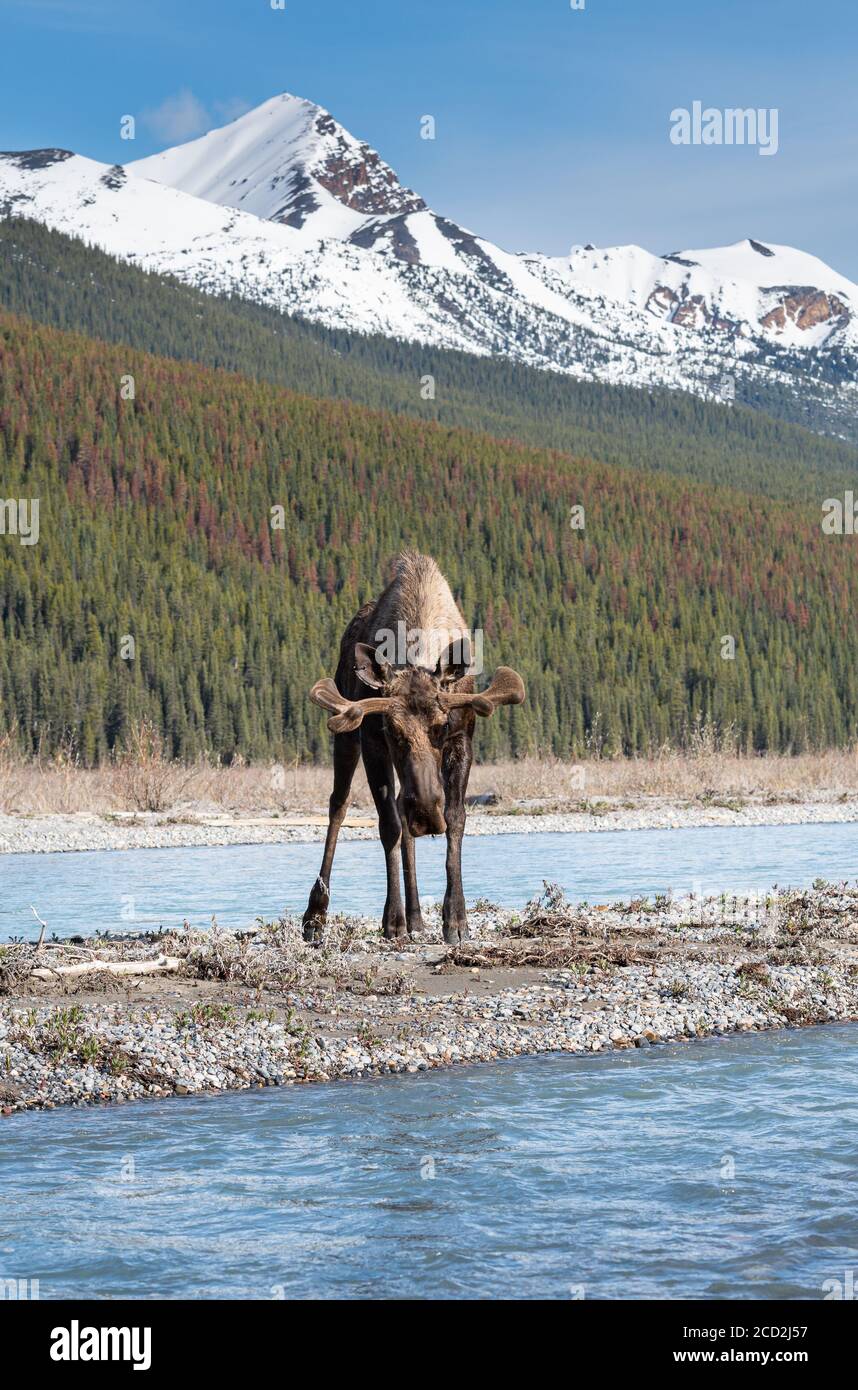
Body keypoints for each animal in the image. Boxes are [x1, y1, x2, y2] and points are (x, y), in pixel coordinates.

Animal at [302, 552, 525, 945]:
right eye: (391, 729)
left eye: (441, 726)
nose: (425, 814)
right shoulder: (373, 743)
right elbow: (388, 824)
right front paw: (392, 920)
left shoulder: (463, 739)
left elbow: (456, 819)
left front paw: (456, 919)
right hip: (345, 736)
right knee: (339, 807)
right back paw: (317, 915)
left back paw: (418, 916)